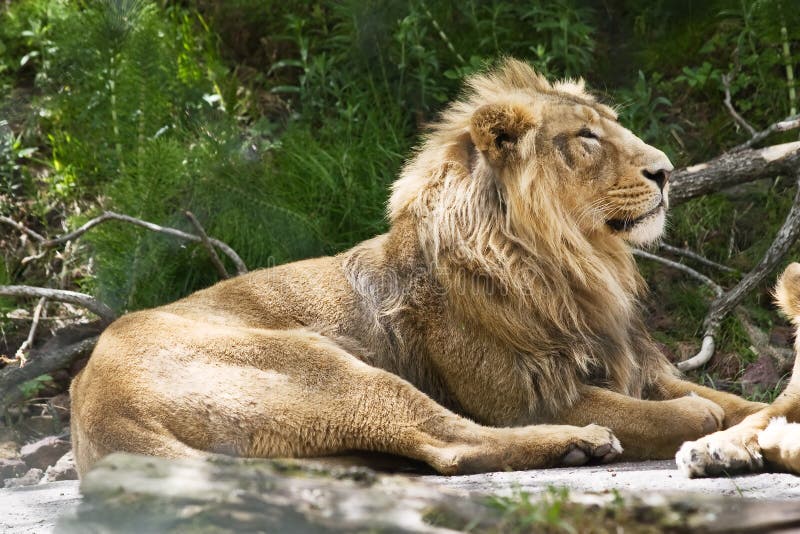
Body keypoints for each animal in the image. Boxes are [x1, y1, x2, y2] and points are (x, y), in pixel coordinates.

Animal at [70, 59, 764, 476]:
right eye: (586, 138)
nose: (666, 171)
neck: (578, 261)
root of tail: (93, 401)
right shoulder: (519, 394)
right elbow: (647, 412)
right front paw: (694, 424)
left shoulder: (637, 368)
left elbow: (739, 400)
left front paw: (737, 432)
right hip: (326, 367)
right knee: (451, 444)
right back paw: (581, 443)